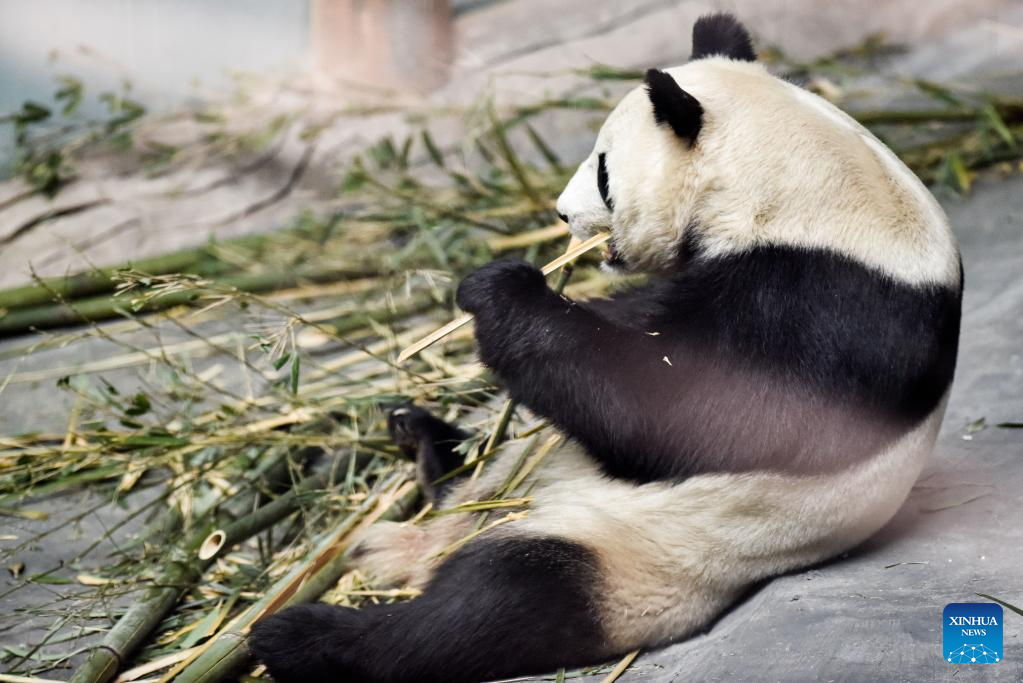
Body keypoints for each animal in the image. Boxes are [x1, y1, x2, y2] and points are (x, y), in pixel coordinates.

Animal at [250, 13, 962, 683]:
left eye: (601, 169)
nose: (562, 215)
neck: (811, 188)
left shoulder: (827, 308)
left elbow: (670, 407)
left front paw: (499, 288)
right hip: (533, 490)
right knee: (485, 472)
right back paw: (422, 442)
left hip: (636, 554)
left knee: (496, 603)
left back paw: (301, 636)